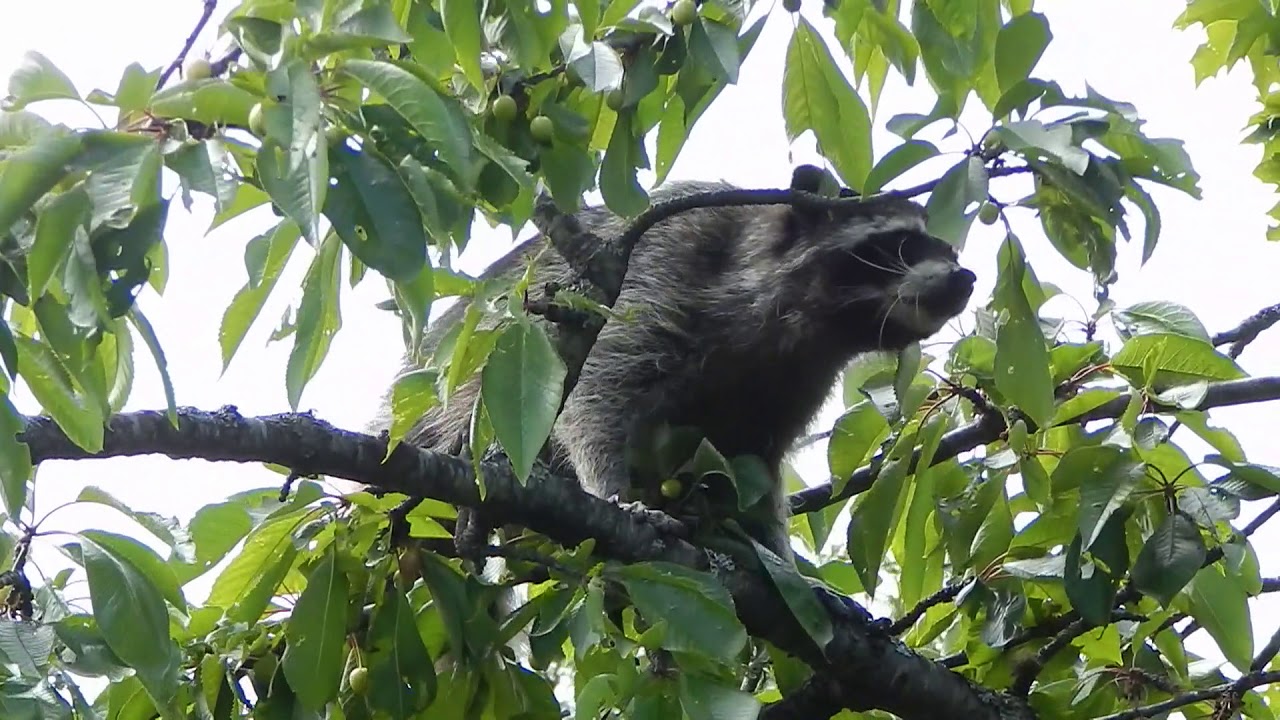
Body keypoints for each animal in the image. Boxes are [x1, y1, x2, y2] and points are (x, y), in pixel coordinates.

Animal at [370, 166, 977, 563]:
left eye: (950, 250)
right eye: (901, 244)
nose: (965, 277)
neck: (819, 327)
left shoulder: (792, 380)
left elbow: (754, 463)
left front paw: (776, 551)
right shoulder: (658, 272)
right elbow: (592, 396)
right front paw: (610, 489)